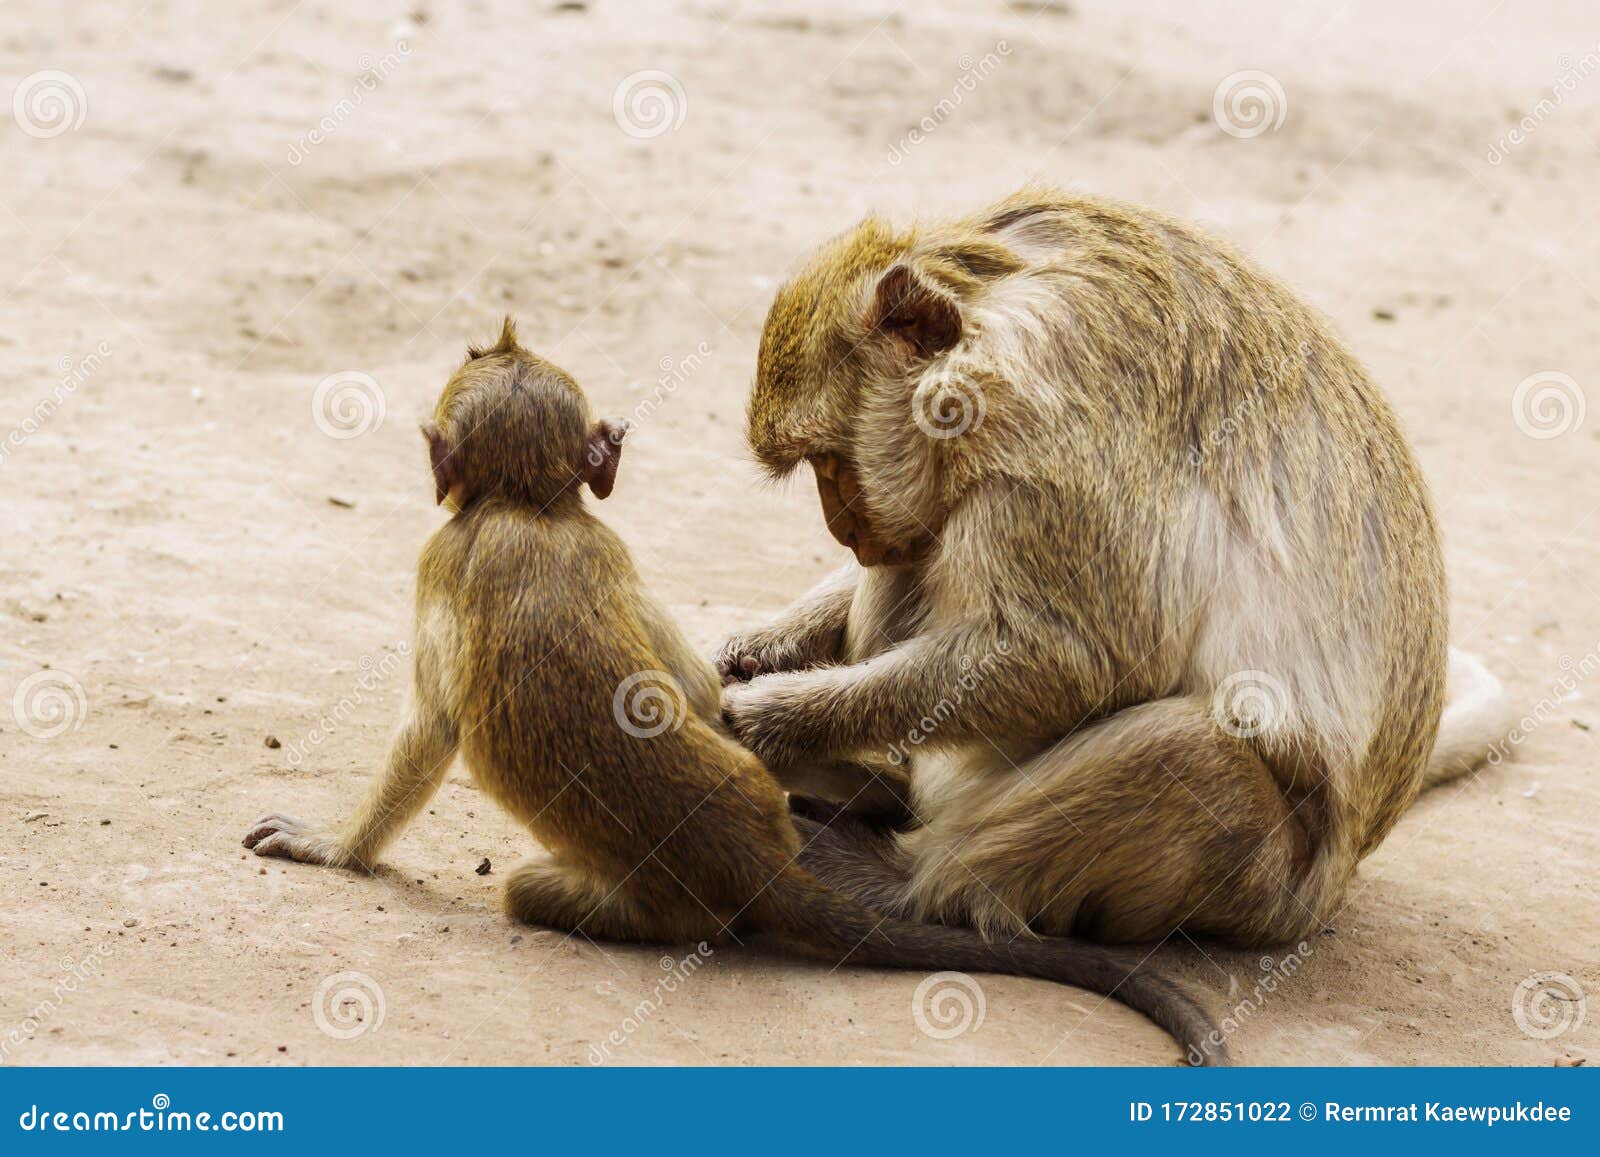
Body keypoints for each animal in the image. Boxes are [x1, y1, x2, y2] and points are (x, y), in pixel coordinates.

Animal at [242, 318, 1230, 1064]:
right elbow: (692, 693)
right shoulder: (608, 548)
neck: (527, 507)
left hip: (649, 899)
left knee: (525, 889)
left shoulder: (442, 560)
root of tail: (756, 863)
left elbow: (430, 729)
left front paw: (340, 847)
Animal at [716, 187, 1511, 969]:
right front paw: (767, 647)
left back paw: (905, 883)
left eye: (828, 461)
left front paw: (777, 718)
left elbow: (1082, 658)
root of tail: (1332, 888)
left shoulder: (1050, 449)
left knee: (1191, 751)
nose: (843, 529)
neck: (992, 316)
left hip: (1256, 882)